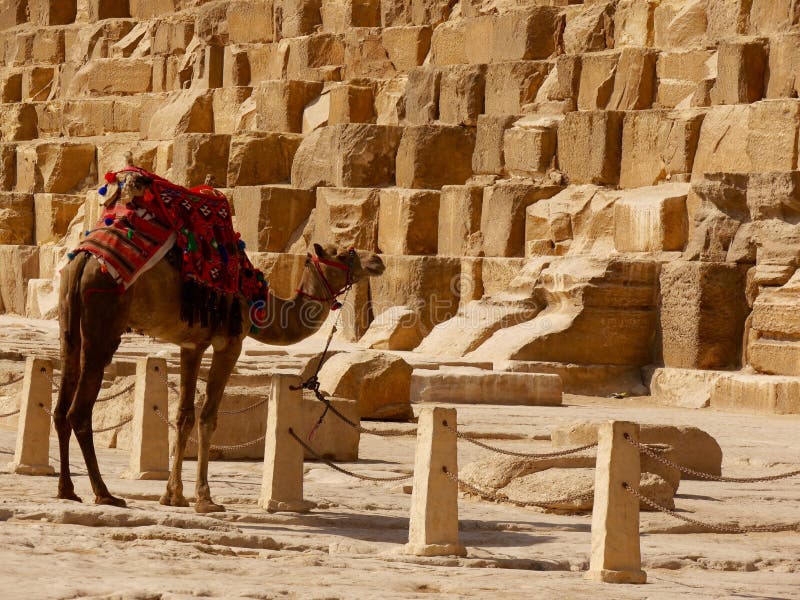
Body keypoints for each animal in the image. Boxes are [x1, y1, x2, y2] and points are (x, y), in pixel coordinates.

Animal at [55, 172, 385, 513]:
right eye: (344, 253)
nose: (377, 260)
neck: (257, 300)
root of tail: (83, 258)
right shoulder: (229, 342)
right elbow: (208, 417)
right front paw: (205, 499)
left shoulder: (191, 344)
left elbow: (184, 415)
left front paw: (173, 496)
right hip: (104, 316)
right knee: (79, 410)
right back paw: (104, 493)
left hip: (69, 321)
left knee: (60, 405)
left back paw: (67, 489)